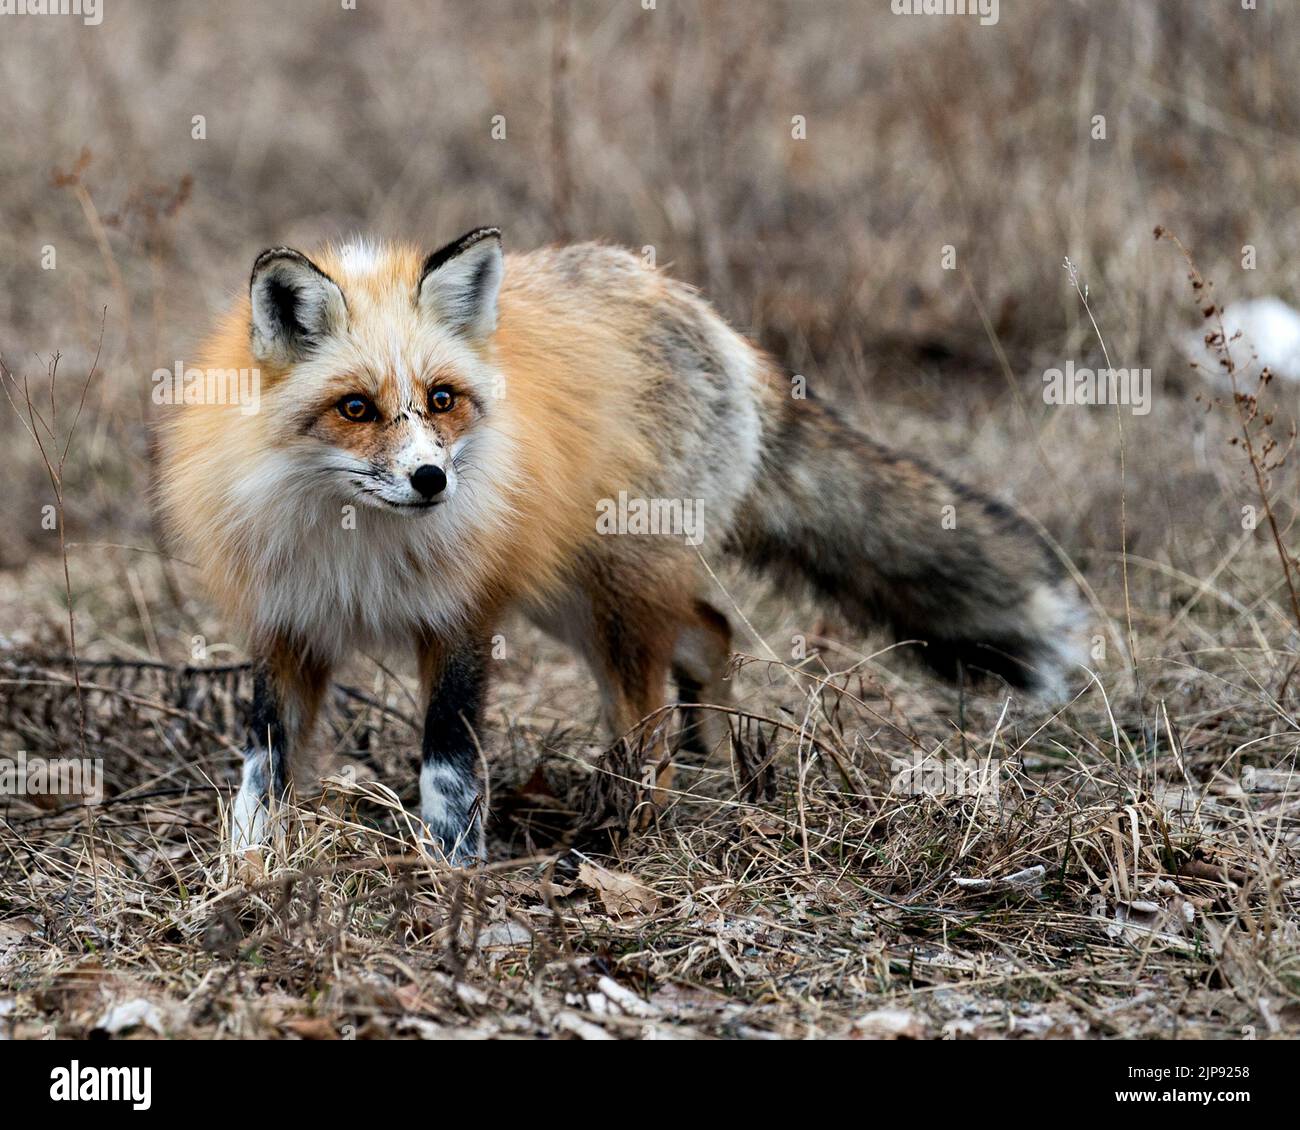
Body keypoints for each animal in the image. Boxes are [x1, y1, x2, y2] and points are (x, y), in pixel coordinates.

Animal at [156, 227, 1083, 865]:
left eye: (442, 398)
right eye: (356, 408)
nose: (430, 480)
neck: (360, 544)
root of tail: (714, 323)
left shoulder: (463, 620)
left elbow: (450, 764)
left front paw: (453, 869)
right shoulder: (287, 623)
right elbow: (264, 761)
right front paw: (248, 864)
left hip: (615, 596)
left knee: (656, 718)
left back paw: (638, 825)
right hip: (576, 600)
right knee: (708, 634)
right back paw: (721, 767)